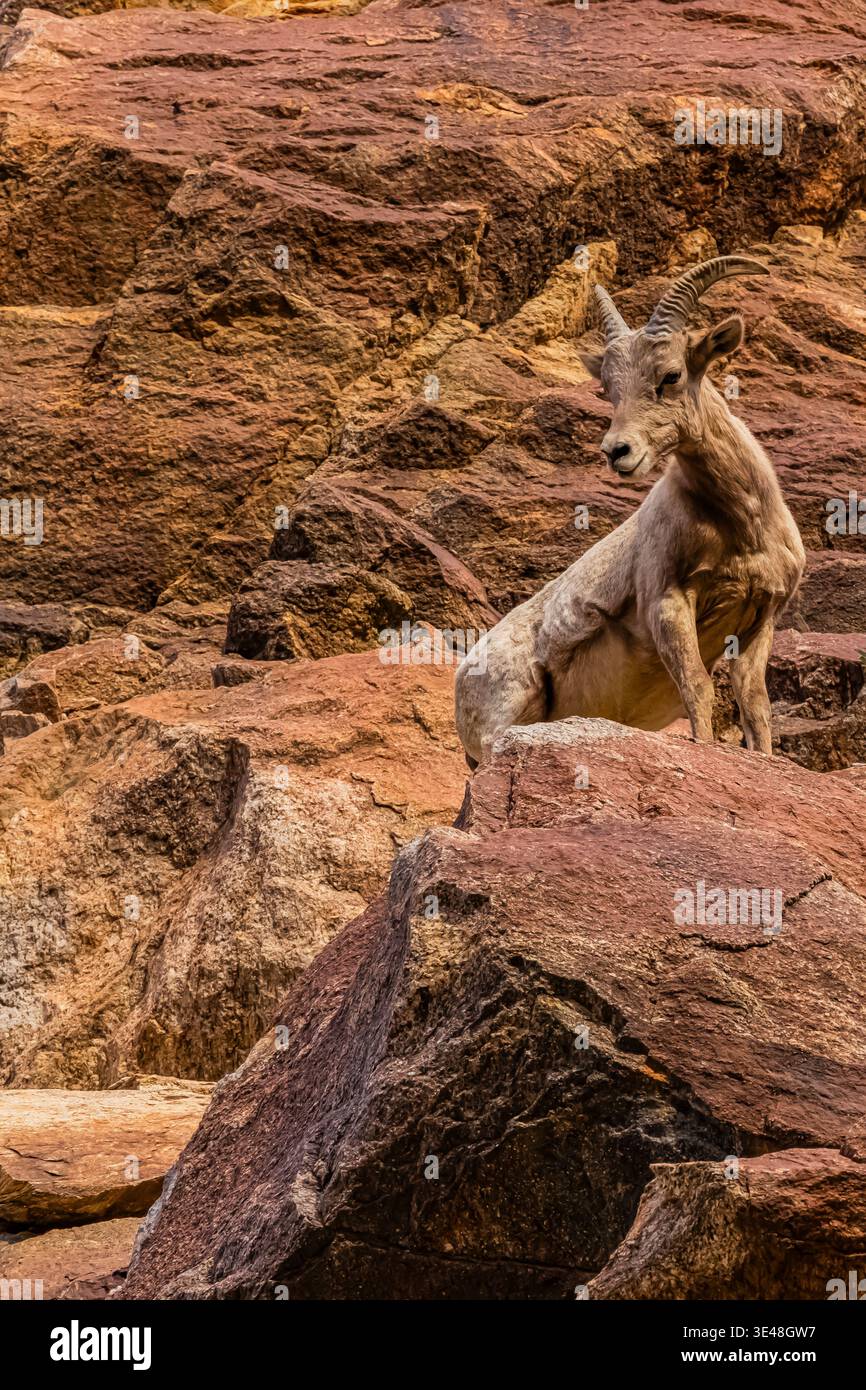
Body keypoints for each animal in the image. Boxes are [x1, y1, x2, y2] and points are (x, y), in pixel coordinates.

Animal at [455, 256, 806, 768]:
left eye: (672, 376)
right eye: (608, 389)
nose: (617, 452)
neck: (743, 528)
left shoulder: (762, 614)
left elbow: (754, 703)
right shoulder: (668, 602)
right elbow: (698, 688)